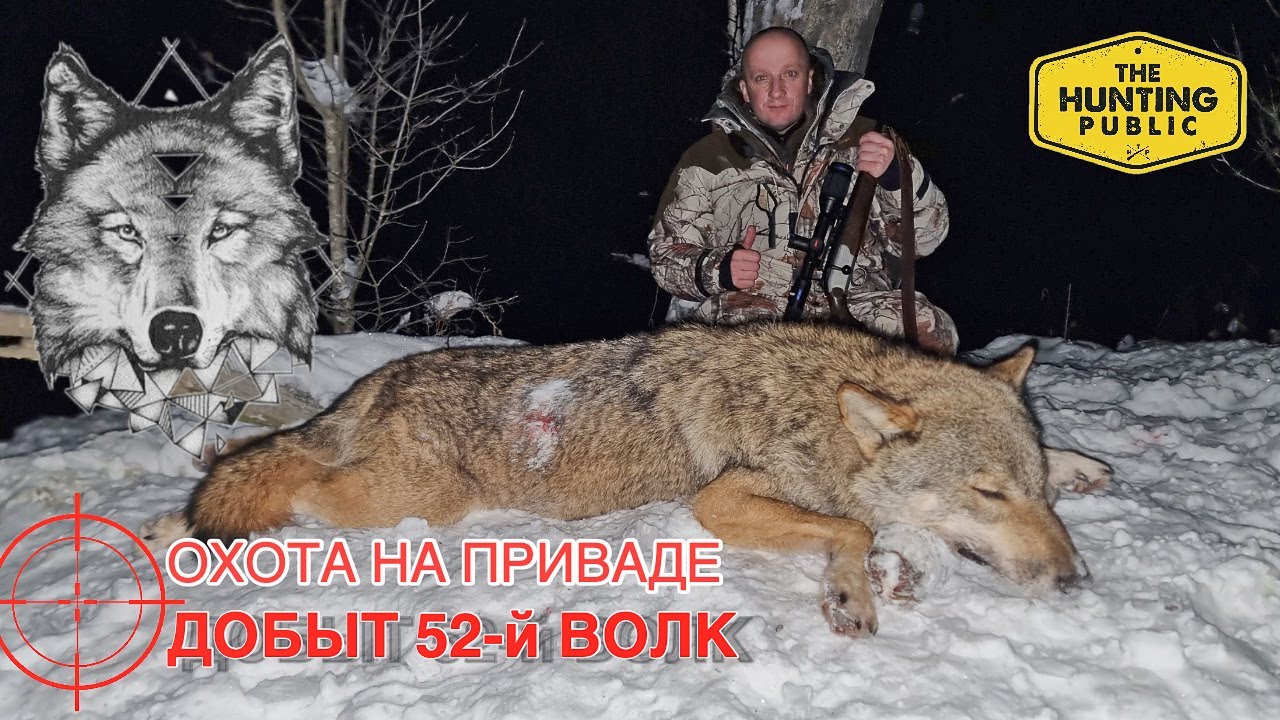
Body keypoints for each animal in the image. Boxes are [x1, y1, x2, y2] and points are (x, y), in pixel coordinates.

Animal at [162, 322, 1110, 637]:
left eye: (1031, 492)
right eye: (988, 496)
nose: (1075, 583)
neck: (818, 408)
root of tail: (379, 380)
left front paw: (1084, 463)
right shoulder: (718, 498)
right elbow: (856, 527)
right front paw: (852, 591)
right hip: (410, 501)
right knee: (293, 478)